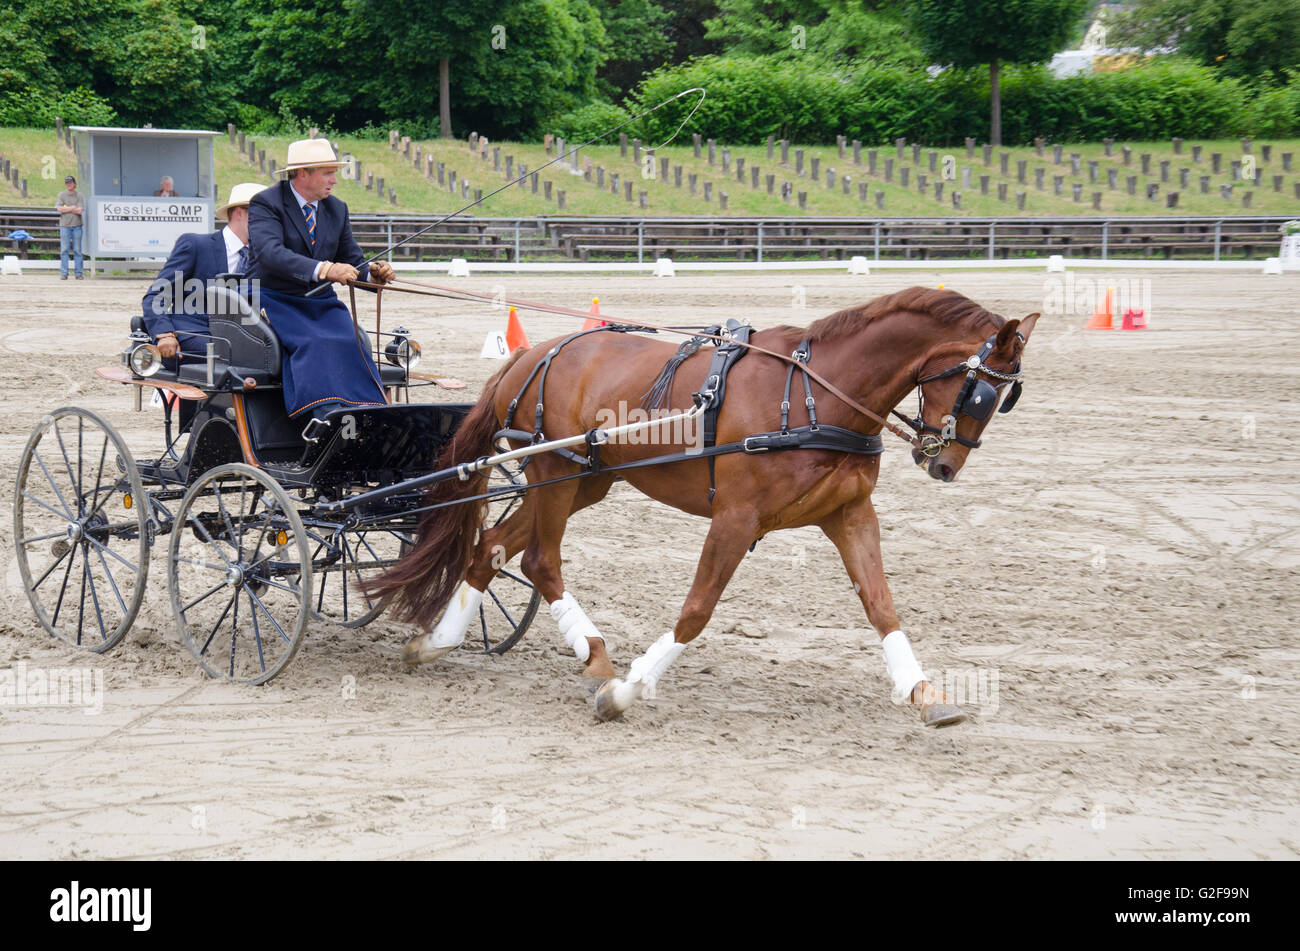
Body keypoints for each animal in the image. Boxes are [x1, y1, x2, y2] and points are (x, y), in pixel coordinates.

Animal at [370, 286, 1039, 726]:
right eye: (982, 391)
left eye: (1006, 396)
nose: (945, 465)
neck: (815, 394)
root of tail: (532, 354)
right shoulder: (737, 519)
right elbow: (697, 610)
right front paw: (627, 693)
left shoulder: (849, 515)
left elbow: (881, 605)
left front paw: (924, 693)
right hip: (555, 472)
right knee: (540, 560)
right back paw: (597, 660)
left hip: (585, 479)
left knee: (492, 548)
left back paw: (438, 642)